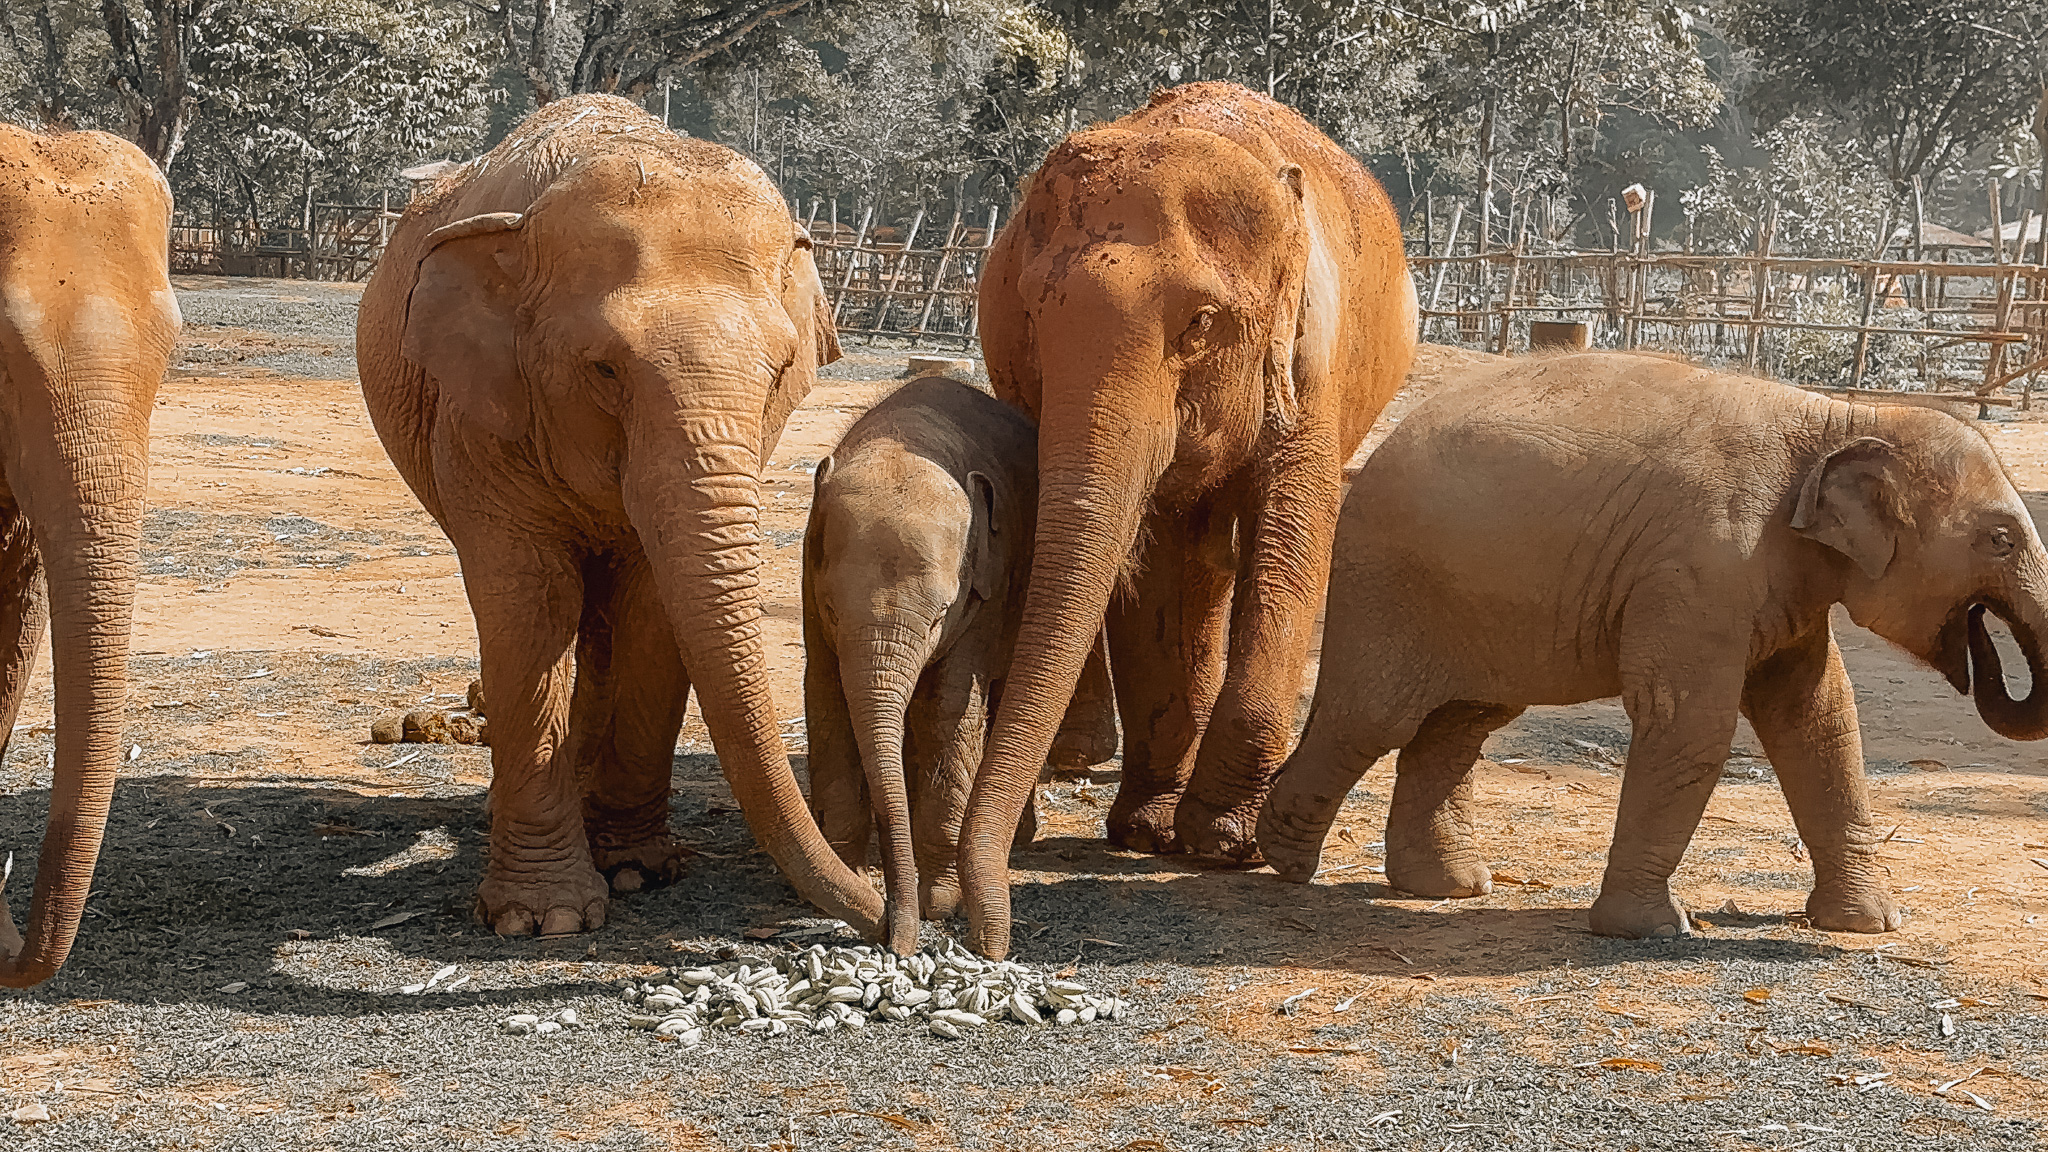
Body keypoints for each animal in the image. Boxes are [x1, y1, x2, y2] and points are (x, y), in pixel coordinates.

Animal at [355, 94, 884, 938]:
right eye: (603, 370)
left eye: (779, 372)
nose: (892, 914)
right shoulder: (481, 417)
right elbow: (528, 605)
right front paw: (544, 921)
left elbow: (652, 606)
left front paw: (638, 873)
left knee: (606, 620)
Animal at [802, 375, 1060, 954]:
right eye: (832, 609)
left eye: (940, 615)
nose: (893, 941)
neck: (902, 437)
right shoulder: (808, 579)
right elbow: (825, 695)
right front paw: (848, 874)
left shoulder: (987, 586)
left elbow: (948, 710)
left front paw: (939, 902)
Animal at [959, 81, 1418, 957]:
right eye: (1032, 317)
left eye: (1200, 323)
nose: (982, 934)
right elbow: (1146, 574)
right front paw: (1150, 833)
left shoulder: (1313, 362)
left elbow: (1290, 541)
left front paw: (1223, 843)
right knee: (1190, 565)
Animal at [1259, 352, 2048, 939]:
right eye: (2001, 539)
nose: (1981, 650)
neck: (1839, 417)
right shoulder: (1702, 568)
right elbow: (1689, 722)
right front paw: (1654, 931)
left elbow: (1818, 720)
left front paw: (1870, 926)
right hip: (1387, 582)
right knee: (1373, 718)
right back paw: (1284, 862)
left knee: (1462, 722)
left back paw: (1448, 888)